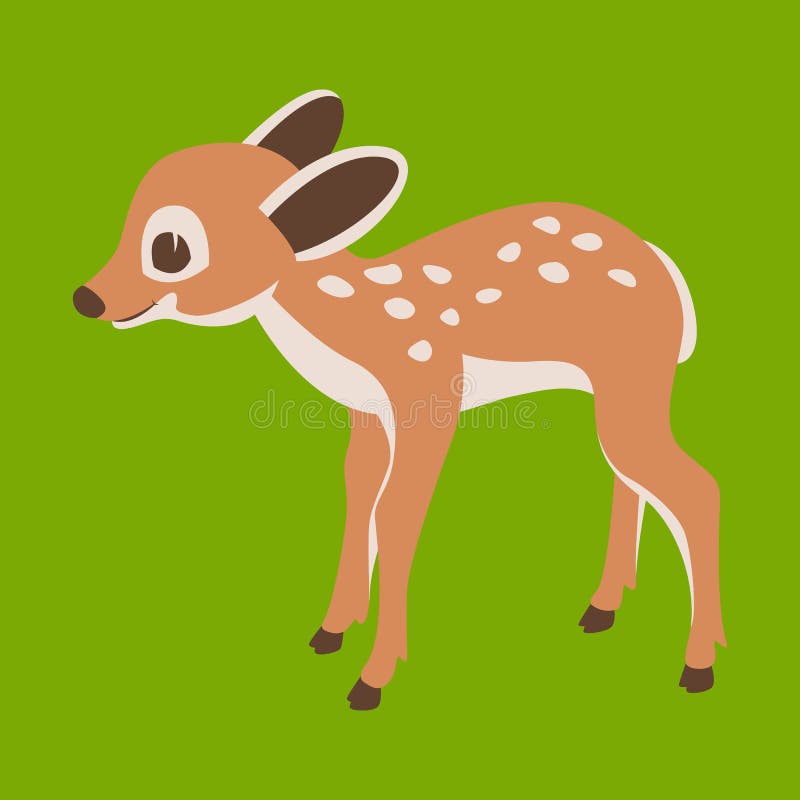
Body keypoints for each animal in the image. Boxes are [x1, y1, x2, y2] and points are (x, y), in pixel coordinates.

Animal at [73, 90, 725, 710]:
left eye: (171, 248)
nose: (87, 297)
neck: (354, 318)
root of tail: (671, 277)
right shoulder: (366, 410)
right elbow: (358, 491)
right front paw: (331, 632)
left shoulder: (427, 390)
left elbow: (398, 514)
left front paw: (372, 680)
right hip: (618, 388)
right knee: (629, 475)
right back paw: (603, 609)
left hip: (633, 375)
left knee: (694, 487)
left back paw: (698, 666)